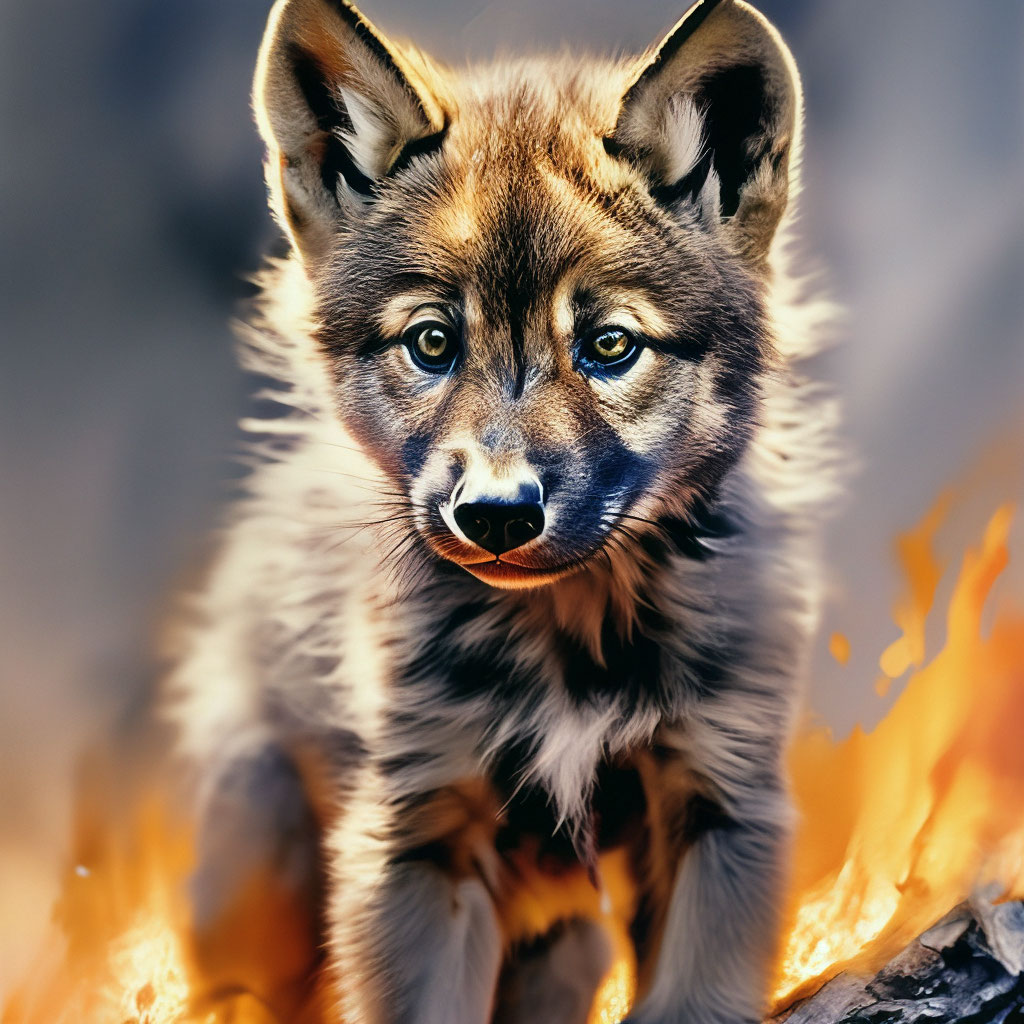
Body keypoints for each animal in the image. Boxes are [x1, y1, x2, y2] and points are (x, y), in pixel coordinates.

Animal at [167, 0, 837, 1021]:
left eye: (610, 345)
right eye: (432, 343)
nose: (495, 513)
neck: (573, 641)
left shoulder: (721, 797)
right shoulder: (417, 830)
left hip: (559, 943)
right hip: (263, 862)